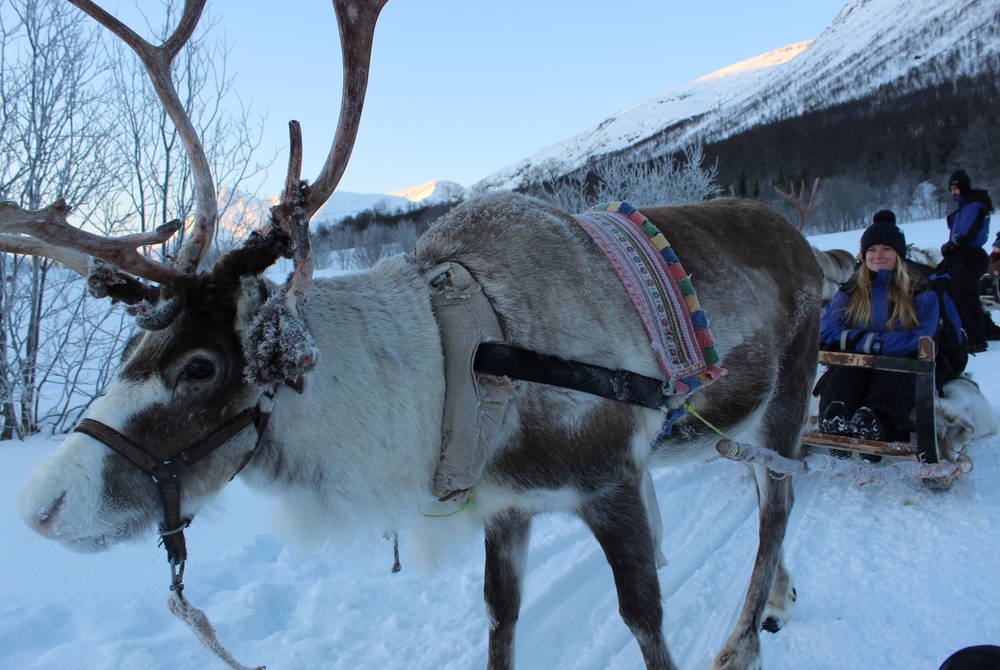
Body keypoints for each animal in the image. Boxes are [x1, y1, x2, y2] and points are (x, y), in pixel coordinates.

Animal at [8, 2, 823, 669]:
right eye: (129, 350)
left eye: (201, 366)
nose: (40, 506)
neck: (461, 363)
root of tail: (808, 243)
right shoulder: (506, 504)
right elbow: (499, 619)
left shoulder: (612, 479)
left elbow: (645, 623)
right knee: (765, 489)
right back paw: (779, 597)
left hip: (788, 390)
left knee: (779, 503)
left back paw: (743, 640)